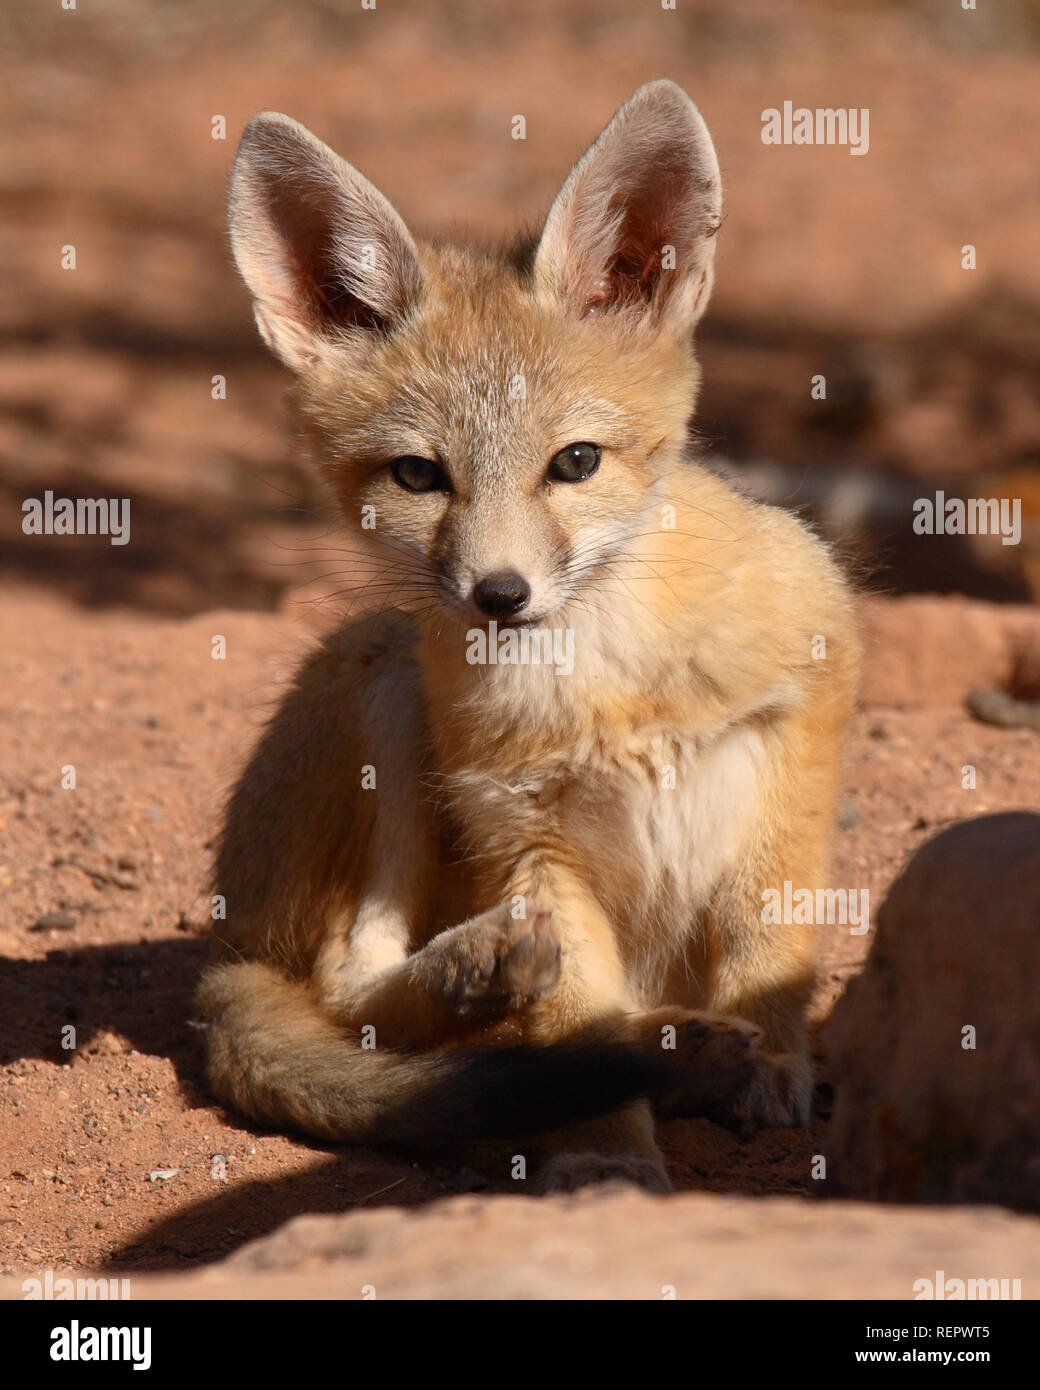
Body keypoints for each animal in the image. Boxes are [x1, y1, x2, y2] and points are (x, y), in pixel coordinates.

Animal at [195, 80, 859, 1193]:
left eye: (575, 461)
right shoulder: (526, 841)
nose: (498, 596)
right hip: (384, 684)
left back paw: (690, 1049)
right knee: (350, 989)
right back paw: (495, 978)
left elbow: (767, 939)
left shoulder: (801, 710)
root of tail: (224, 940)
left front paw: (770, 1064)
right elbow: (572, 1022)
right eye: (417, 476)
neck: (609, 689)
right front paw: (605, 1162)